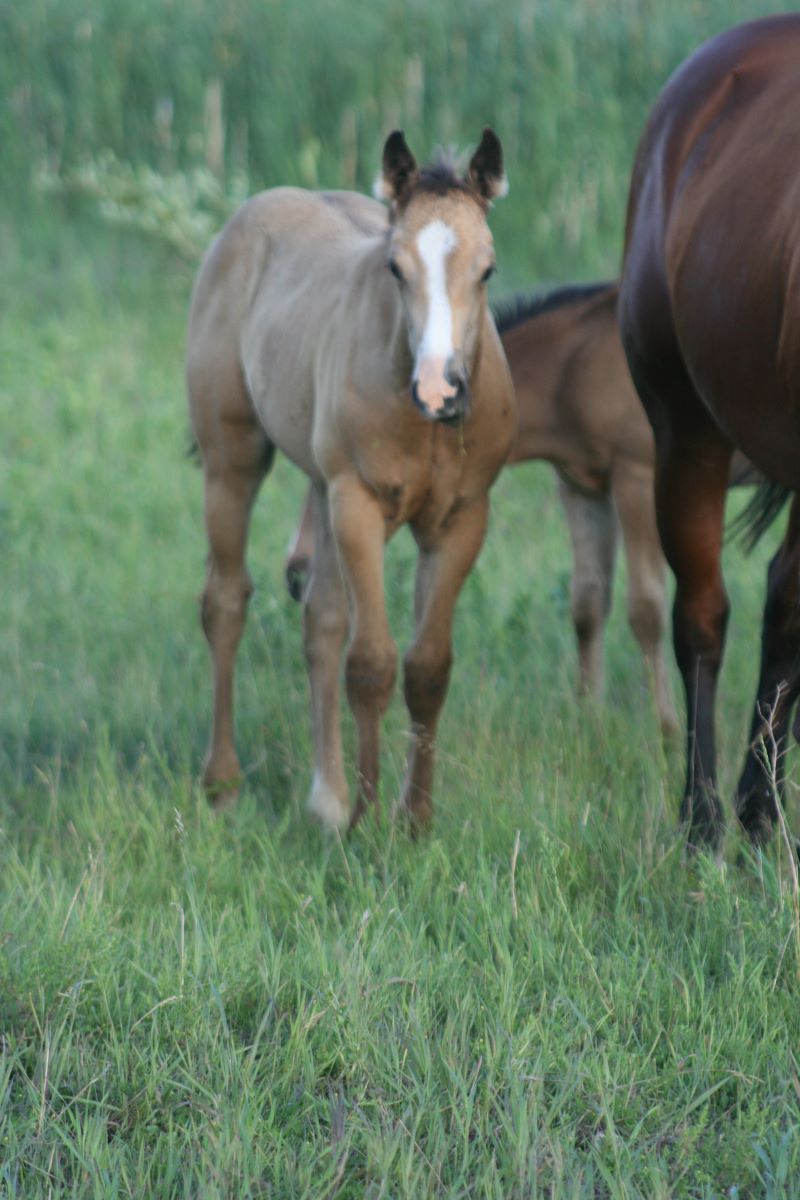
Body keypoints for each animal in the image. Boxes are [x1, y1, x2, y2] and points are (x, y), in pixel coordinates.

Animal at [187, 130, 515, 831]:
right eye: (395, 268)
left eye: (488, 269)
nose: (439, 389)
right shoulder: (359, 505)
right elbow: (371, 664)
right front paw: (368, 821)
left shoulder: (461, 519)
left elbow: (427, 667)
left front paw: (414, 819)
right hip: (234, 461)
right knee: (225, 603)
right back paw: (224, 785)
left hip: (320, 485)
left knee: (321, 619)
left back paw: (326, 798)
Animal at [287, 281, 680, 735]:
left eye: (327, 472)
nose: (296, 570)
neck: (575, 370)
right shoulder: (582, 486)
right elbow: (588, 603)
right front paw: (589, 719)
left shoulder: (637, 476)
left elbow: (647, 607)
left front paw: (667, 729)